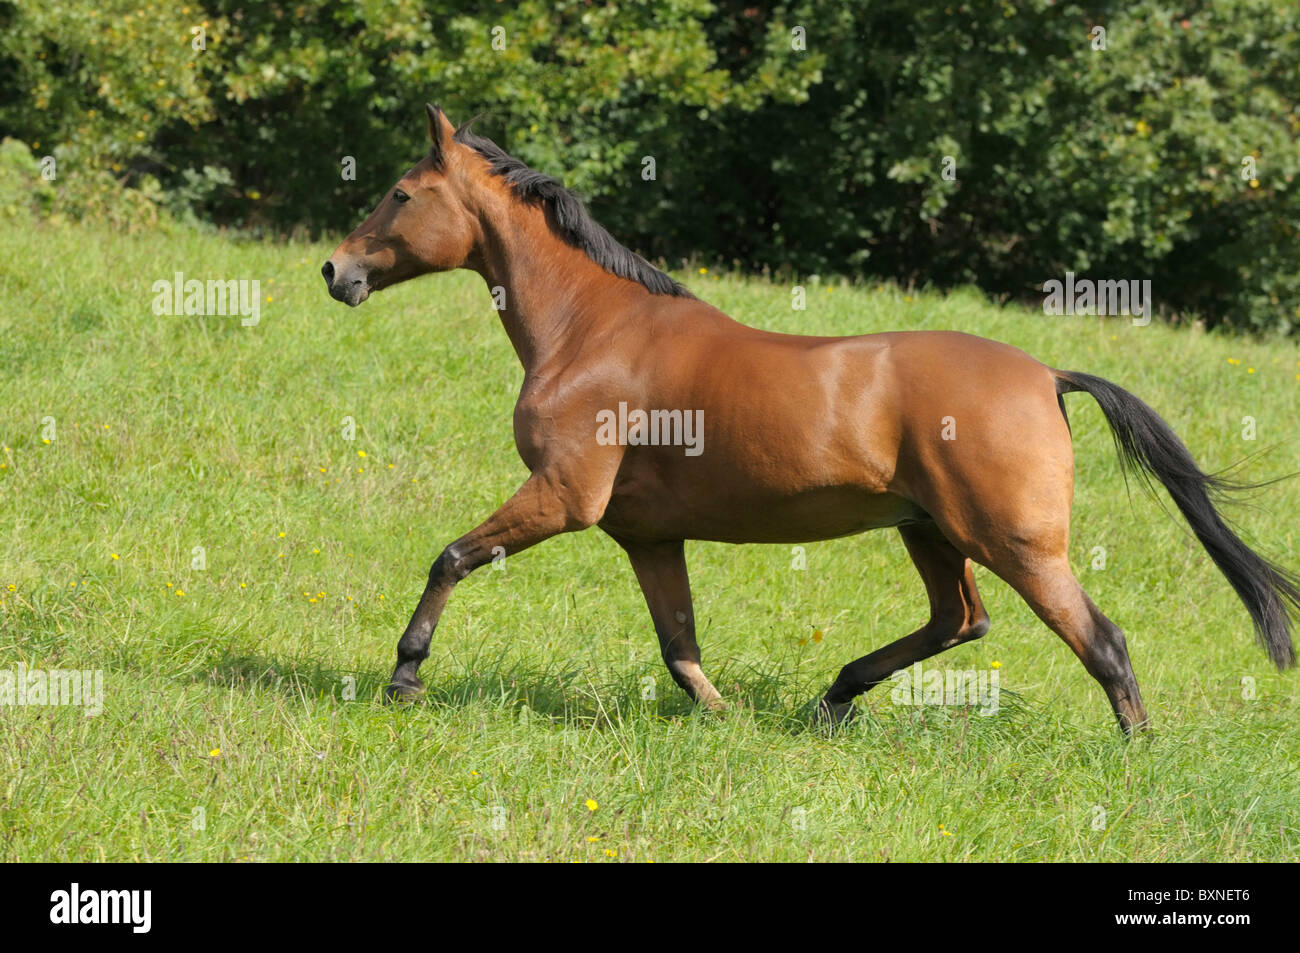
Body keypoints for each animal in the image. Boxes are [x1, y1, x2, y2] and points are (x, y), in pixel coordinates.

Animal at [322, 104, 1298, 735]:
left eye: (400, 194)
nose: (336, 271)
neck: (590, 329)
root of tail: (1047, 376)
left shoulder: (564, 496)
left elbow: (452, 555)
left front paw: (404, 675)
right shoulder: (646, 534)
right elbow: (679, 643)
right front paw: (725, 723)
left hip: (1014, 542)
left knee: (1100, 639)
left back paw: (1134, 751)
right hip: (930, 530)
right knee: (960, 620)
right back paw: (830, 699)